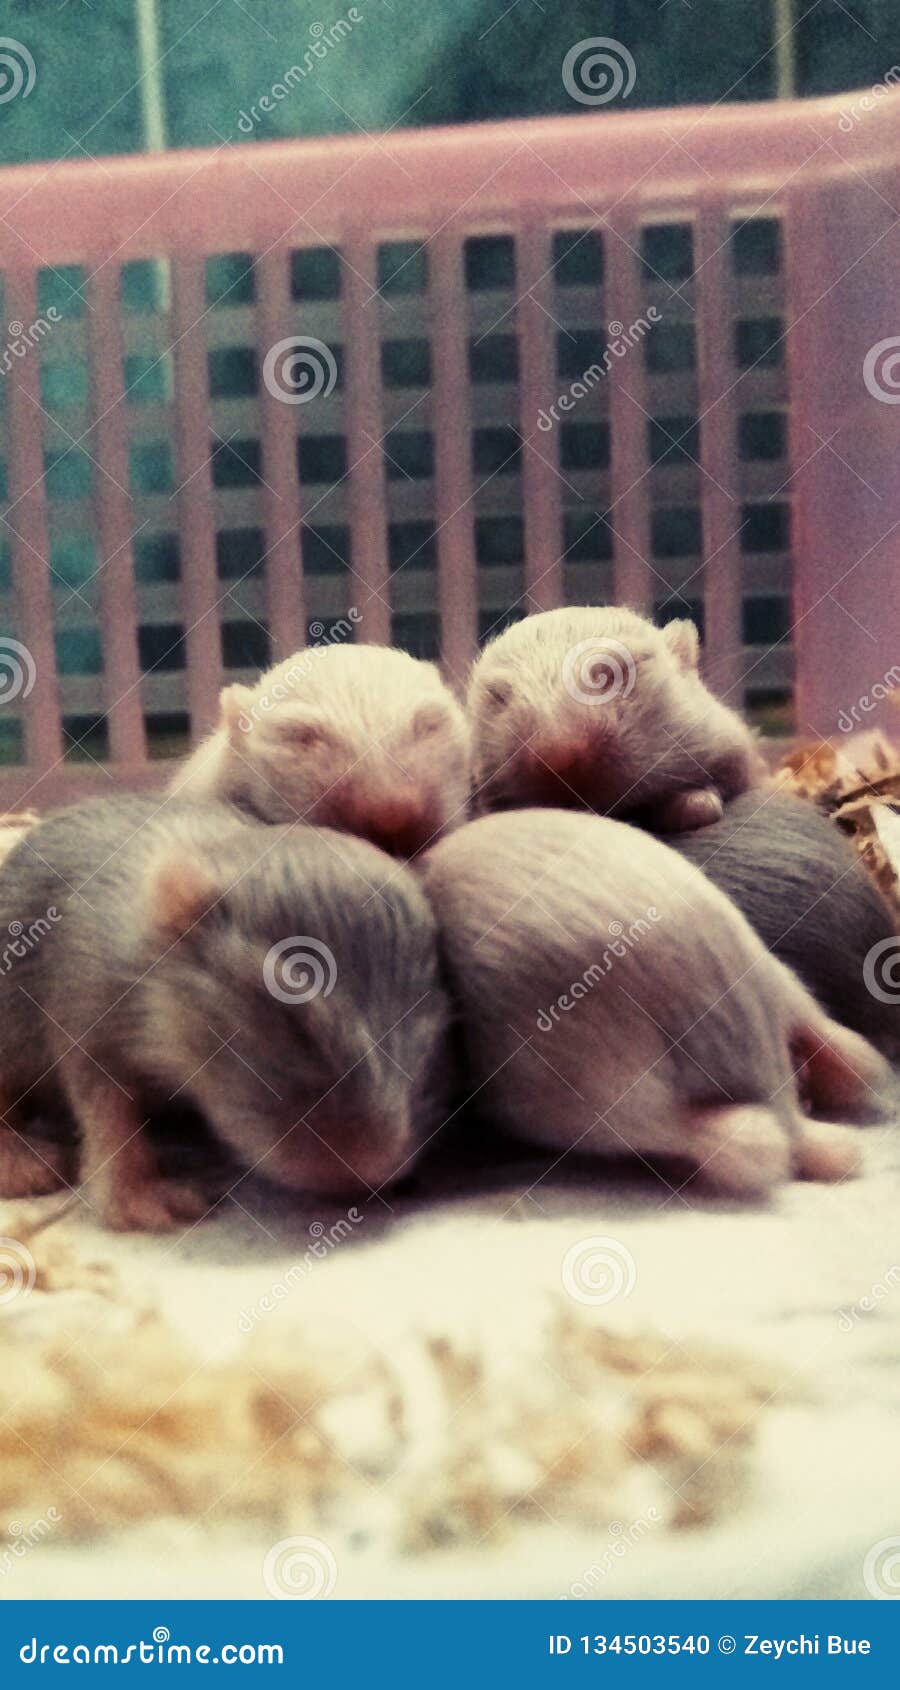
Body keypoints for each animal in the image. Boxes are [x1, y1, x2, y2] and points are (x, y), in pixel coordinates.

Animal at [0, 796, 449, 1230]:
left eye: (432, 1040)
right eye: (293, 1025)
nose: (376, 1171)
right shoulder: (85, 1011)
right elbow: (108, 1115)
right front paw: (140, 1199)